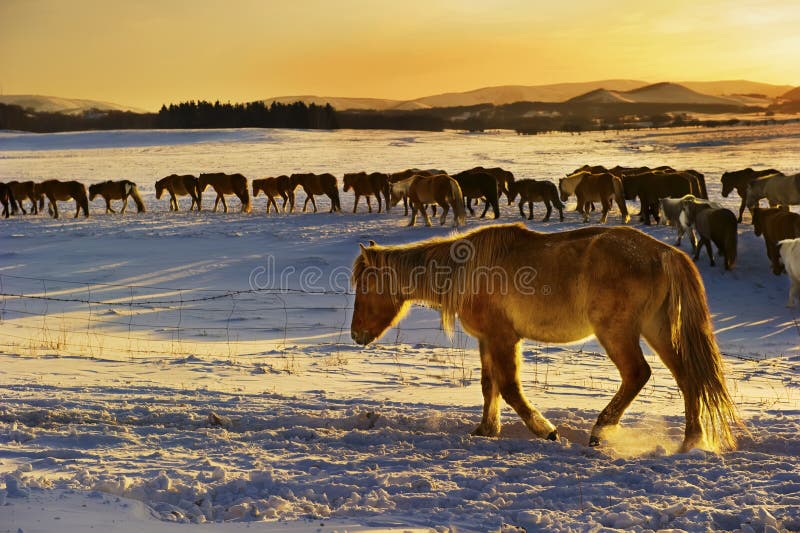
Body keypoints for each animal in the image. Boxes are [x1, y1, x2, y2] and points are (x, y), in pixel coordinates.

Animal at [350, 223, 742, 452]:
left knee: (637, 374)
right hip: (656, 329)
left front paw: (545, 430)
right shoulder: (487, 340)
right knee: (687, 377)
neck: (466, 270)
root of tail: (664, 253)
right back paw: (691, 441)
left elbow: (510, 388)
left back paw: (600, 431)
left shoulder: (503, 339)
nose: (357, 334)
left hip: (618, 333)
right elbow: (489, 385)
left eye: (366, 283)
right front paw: (486, 429)